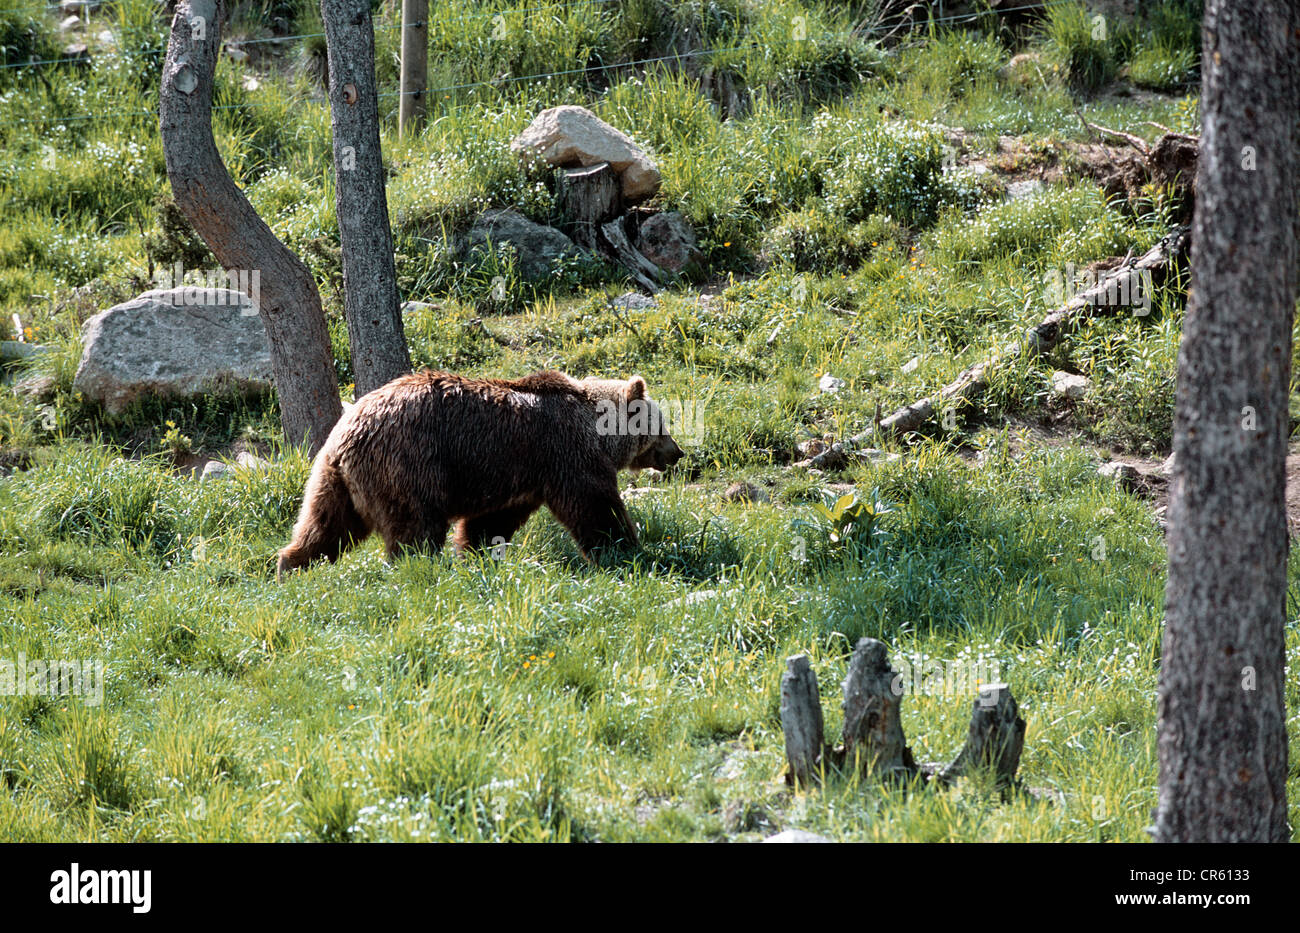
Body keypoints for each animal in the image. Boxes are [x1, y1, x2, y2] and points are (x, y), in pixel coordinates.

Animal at [275, 369, 684, 576]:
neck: (598, 431)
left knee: (325, 526)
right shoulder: (566, 454)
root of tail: (346, 432)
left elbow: (490, 522)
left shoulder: (521, 475)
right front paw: (629, 550)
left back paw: (292, 567)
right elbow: (595, 506)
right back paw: (418, 570)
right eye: (663, 424)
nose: (678, 453)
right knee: (415, 528)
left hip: (334, 479)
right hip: (409, 464)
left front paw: (476, 552)